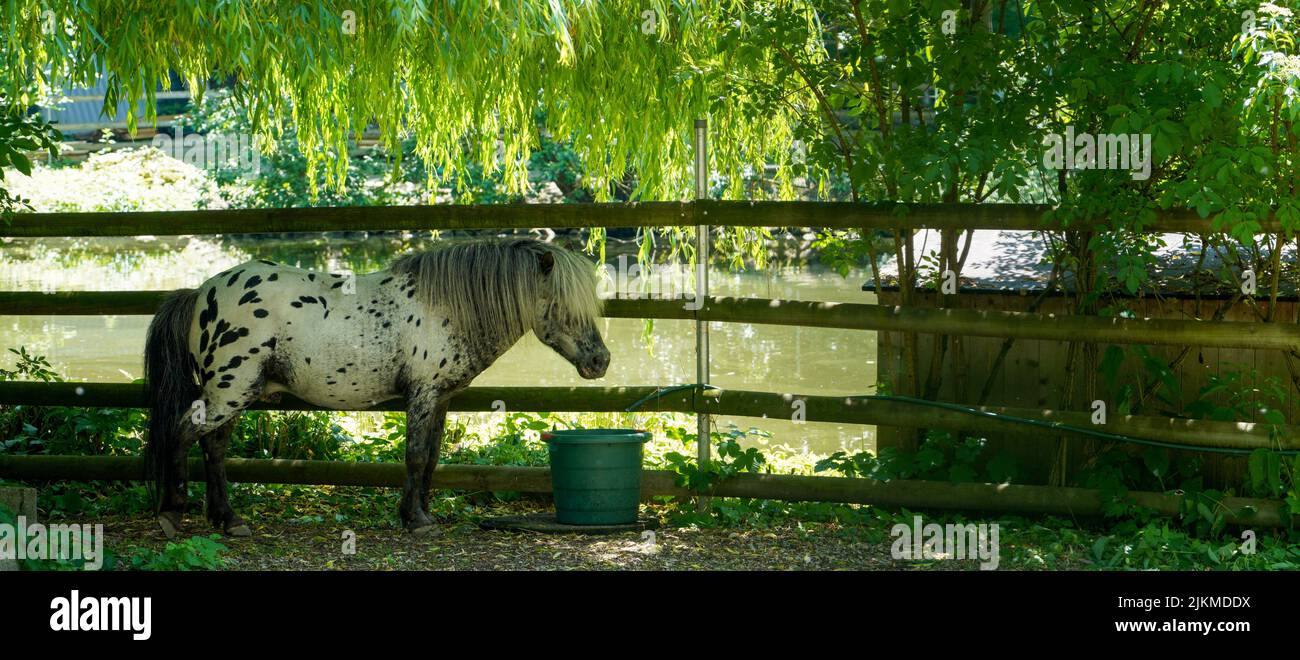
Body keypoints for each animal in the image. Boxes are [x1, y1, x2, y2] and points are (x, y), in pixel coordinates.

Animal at [143, 237, 609, 538]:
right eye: (562, 305)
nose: (600, 362)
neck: (445, 308)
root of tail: (201, 292)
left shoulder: (440, 400)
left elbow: (432, 458)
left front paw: (420, 513)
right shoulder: (422, 396)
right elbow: (416, 457)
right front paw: (416, 522)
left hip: (234, 395)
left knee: (214, 447)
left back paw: (229, 520)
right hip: (229, 392)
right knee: (183, 435)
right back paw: (172, 516)